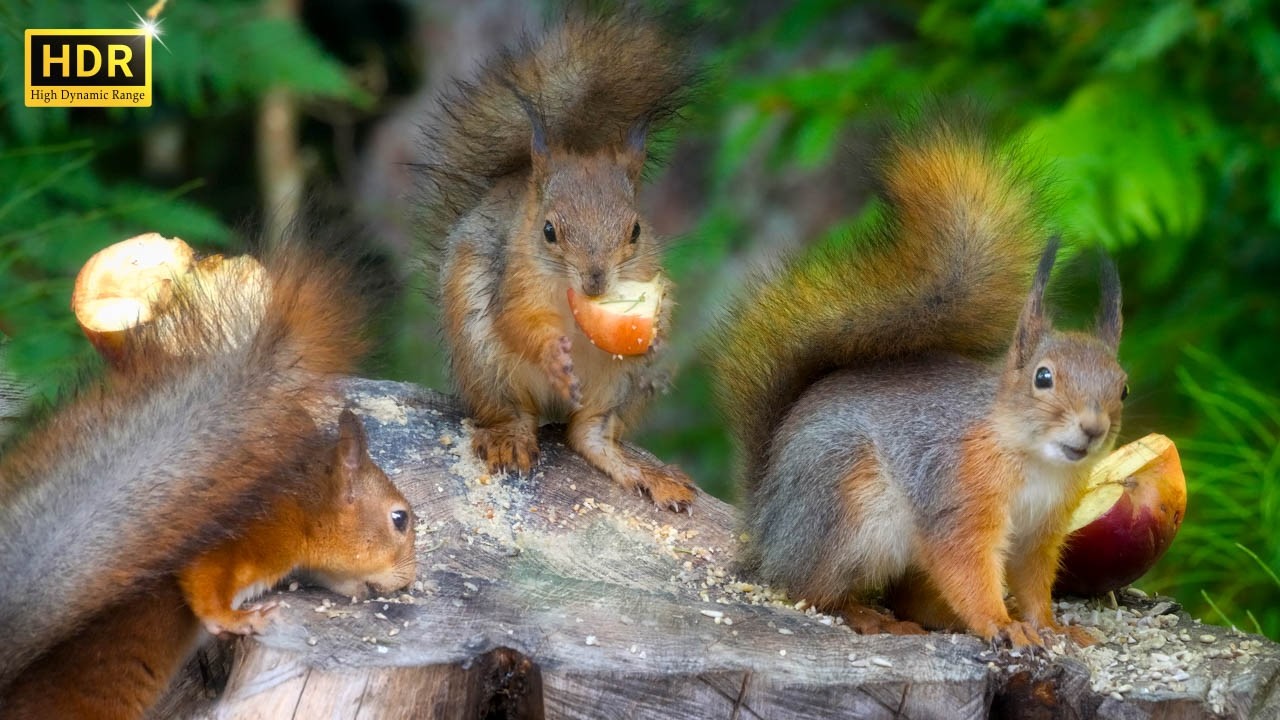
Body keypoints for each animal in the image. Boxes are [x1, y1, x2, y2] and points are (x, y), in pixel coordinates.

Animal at [0, 234, 414, 715]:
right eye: (400, 519)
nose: (410, 579)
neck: (301, 507)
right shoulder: (240, 536)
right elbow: (202, 584)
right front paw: (237, 619)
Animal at [417, 14, 698, 510]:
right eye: (549, 231)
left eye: (635, 231)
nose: (595, 281)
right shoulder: (514, 279)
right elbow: (517, 322)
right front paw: (554, 355)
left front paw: (659, 333)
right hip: (484, 364)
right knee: (512, 414)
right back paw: (509, 439)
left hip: (620, 389)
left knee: (589, 437)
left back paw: (644, 473)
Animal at [709, 120, 1128, 648]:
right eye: (1043, 377)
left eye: (1123, 388)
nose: (1093, 429)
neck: (1034, 461)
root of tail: (765, 527)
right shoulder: (953, 495)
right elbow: (964, 565)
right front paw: (1000, 624)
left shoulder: (1040, 533)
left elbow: (1034, 583)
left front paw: (1052, 627)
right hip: (844, 512)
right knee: (811, 591)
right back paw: (868, 616)